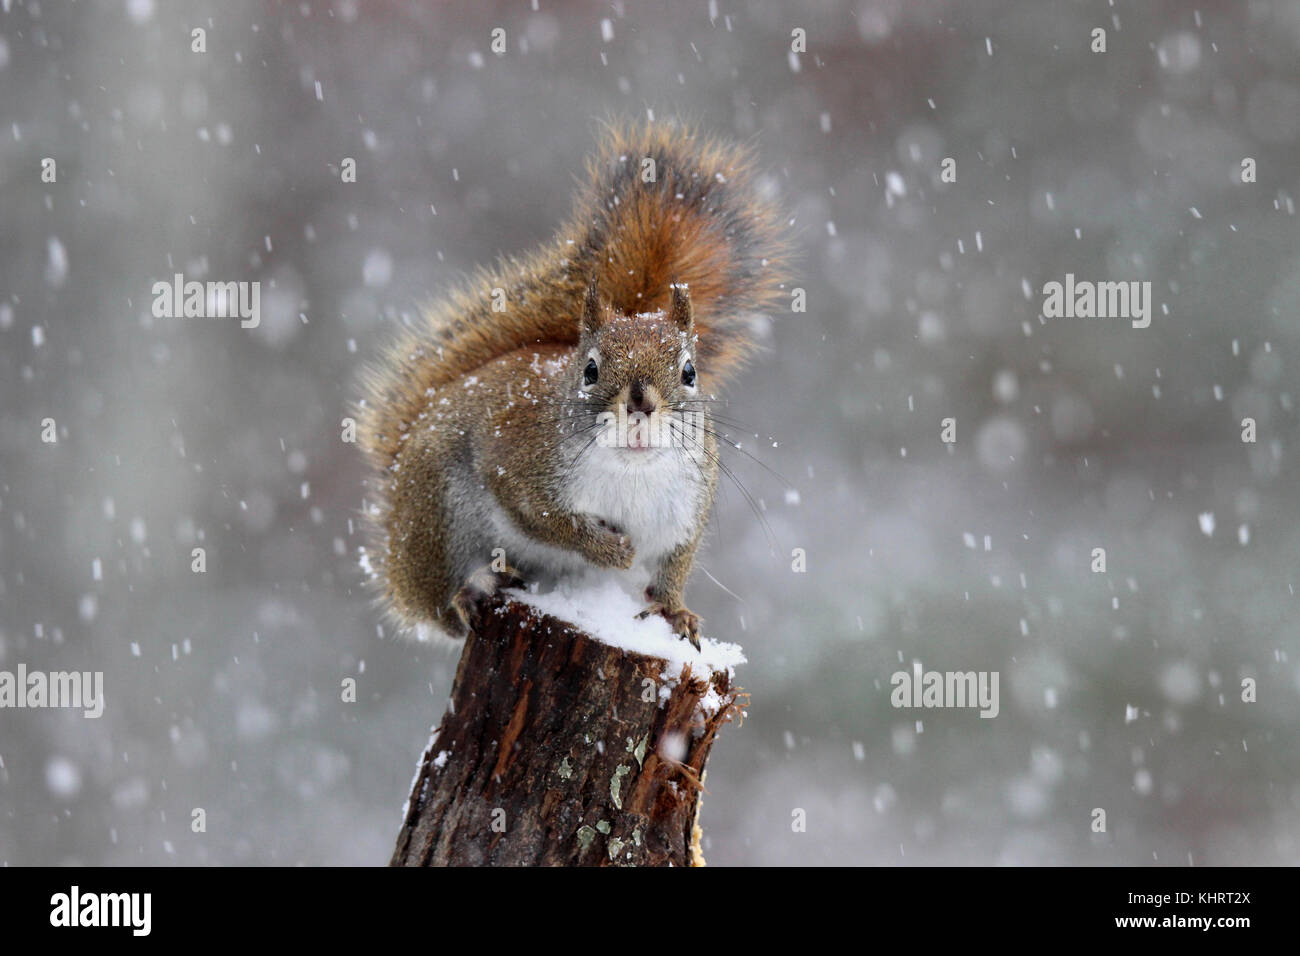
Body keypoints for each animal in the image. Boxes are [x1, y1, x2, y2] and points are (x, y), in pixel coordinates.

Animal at [357, 119, 790, 648]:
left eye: (690, 372)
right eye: (590, 371)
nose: (640, 404)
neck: (631, 472)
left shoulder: (686, 512)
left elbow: (674, 566)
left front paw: (675, 611)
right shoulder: (516, 466)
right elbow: (548, 522)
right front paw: (606, 550)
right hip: (434, 518)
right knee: (440, 607)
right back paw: (468, 592)